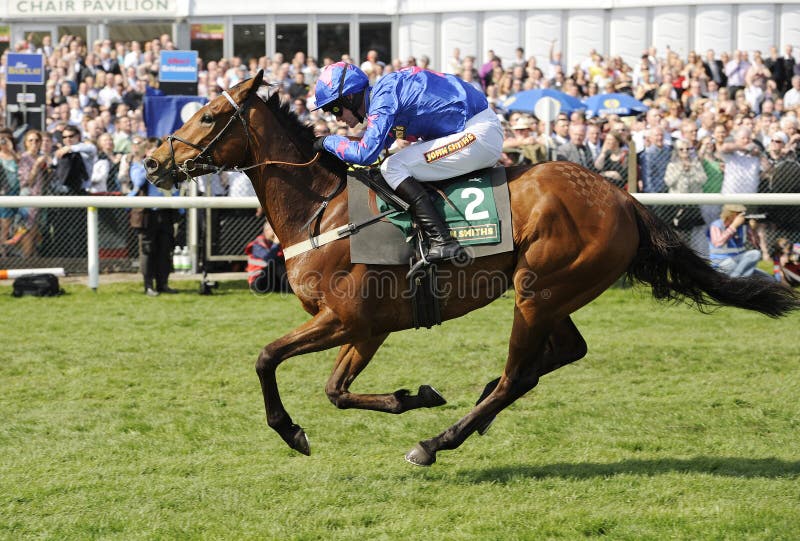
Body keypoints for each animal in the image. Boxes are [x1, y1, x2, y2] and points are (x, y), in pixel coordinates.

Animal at [144, 71, 800, 466]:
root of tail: (622, 196)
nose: (152, 161)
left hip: (538, 292)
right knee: (560, 356)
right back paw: (468, 411)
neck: (321, 210)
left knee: (520, 376)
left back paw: (438, 441)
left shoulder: (348, 319)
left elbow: (267, 358)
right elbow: (336, 390)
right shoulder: (368, 328)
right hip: (552, 293)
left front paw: (292, 431)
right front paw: (413, 394)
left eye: (208, 116)